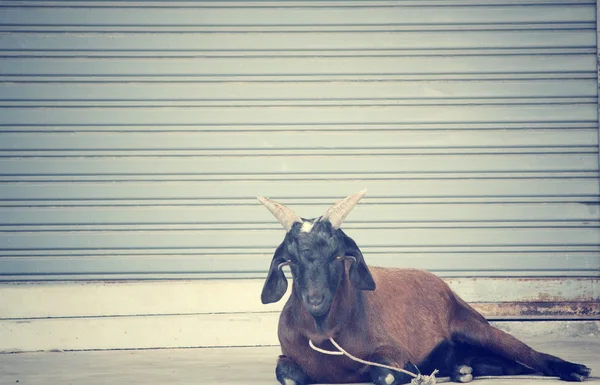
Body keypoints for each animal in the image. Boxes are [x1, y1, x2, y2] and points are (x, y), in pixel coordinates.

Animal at [256, 190, 592, 384]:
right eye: (291, 259)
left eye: (337, 255)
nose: (315, 300)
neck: (324, 335)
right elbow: (285, 374)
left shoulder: (390, 350)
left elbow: (385, 374)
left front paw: (412, 372)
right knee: (503, 364)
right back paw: (461, 371)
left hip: (477, 328)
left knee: (527, 355)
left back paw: (574, 369)